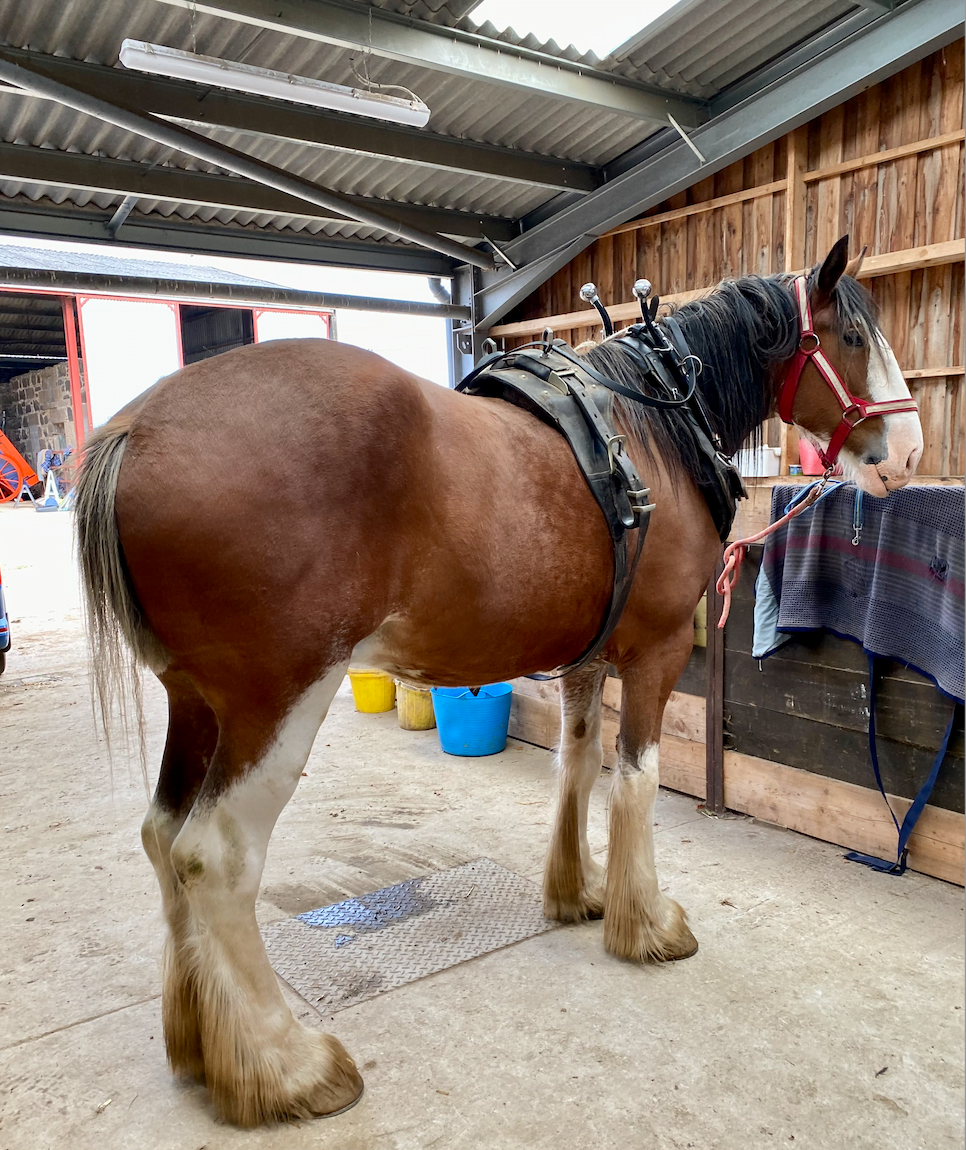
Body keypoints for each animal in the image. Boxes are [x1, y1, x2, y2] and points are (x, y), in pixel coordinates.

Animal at [74, 236, 922, 1126]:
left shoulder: (588, 658)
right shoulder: (654, 655)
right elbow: (637, 781)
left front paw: (581, 891)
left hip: (196, 704)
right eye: (852, 338)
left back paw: (204, 1047)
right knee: (214, 857)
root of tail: (136, 429)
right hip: (276, 704)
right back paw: (286, 1065)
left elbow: (577, 767)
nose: (909, 454)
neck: (652, 423)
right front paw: (648, 924)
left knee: (163, 839)